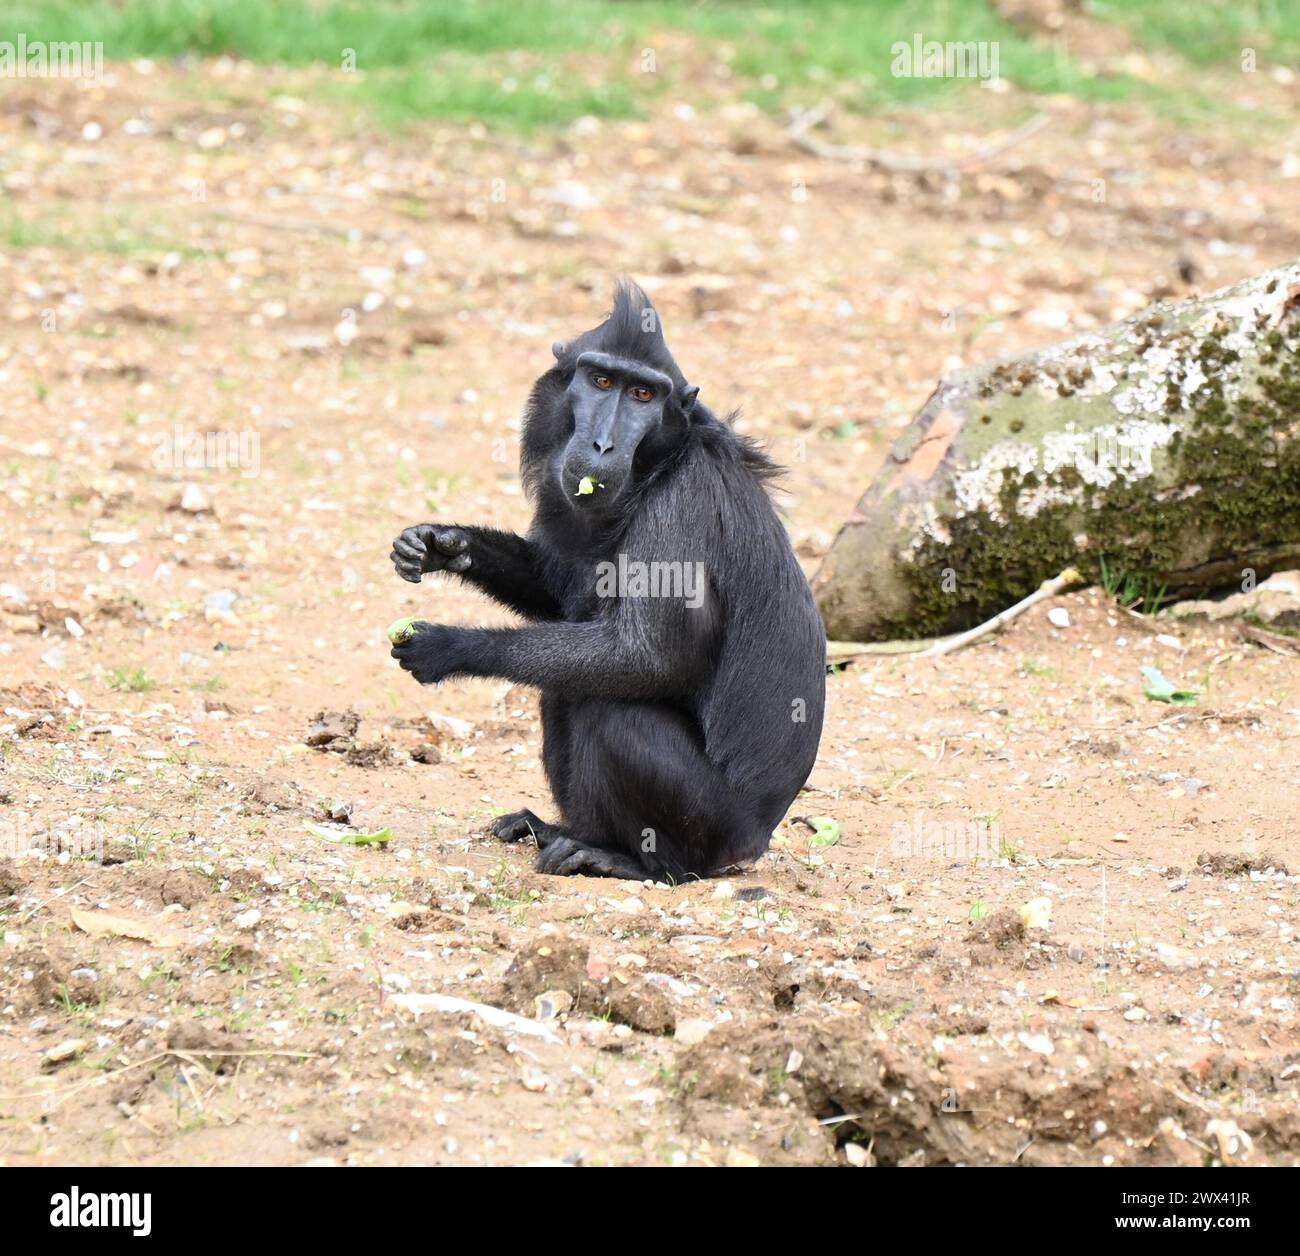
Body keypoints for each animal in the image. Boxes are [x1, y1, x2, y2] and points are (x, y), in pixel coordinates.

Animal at [389, 281, 825, 880]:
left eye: (643, 394)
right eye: (600, 381)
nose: (601, 447)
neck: (657, 466)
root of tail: (758, 837)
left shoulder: (680, 505)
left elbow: (649, 658)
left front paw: (448, 647)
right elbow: (556, 591)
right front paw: (442, 543)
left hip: (714, 826)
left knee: (610, 706)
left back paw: (630, 861)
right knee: (563, 688)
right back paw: (563, 831)